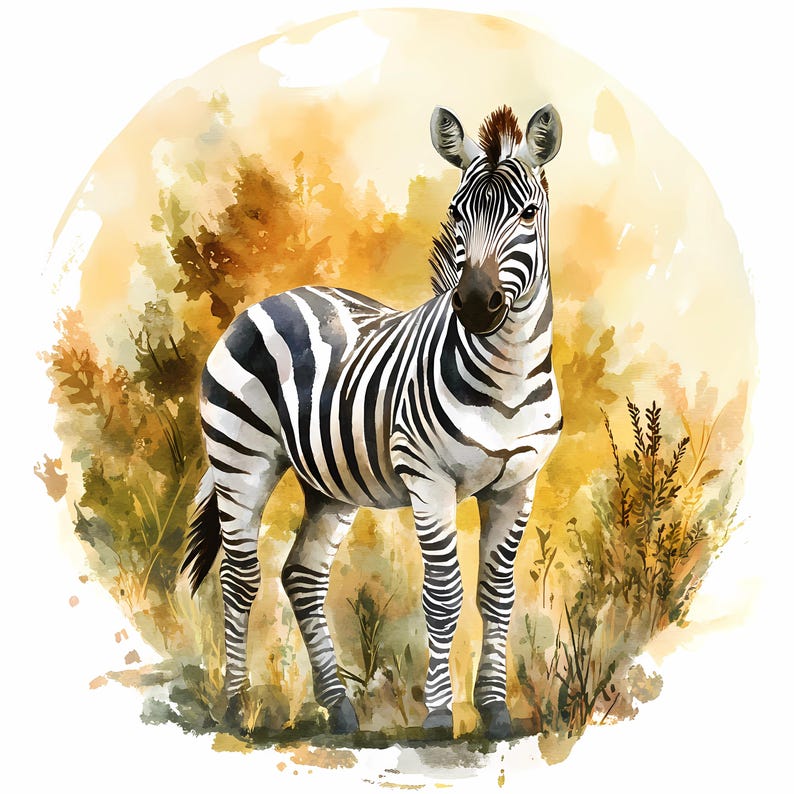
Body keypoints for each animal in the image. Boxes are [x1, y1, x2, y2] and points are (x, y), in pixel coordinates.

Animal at [182, 103, 563, 740]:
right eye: (457, 213)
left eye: (528, 213)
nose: (474, 304)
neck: (505, 376)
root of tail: (274, 298)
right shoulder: (429, 478)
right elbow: (444, 595)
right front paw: (438, 715)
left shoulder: (518, 483)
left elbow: (497, 596)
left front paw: (494, 711)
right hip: (242, 457)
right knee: (238, 578)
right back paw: (235, 707)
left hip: (327, 484)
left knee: (302, 575)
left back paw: (339, 709)